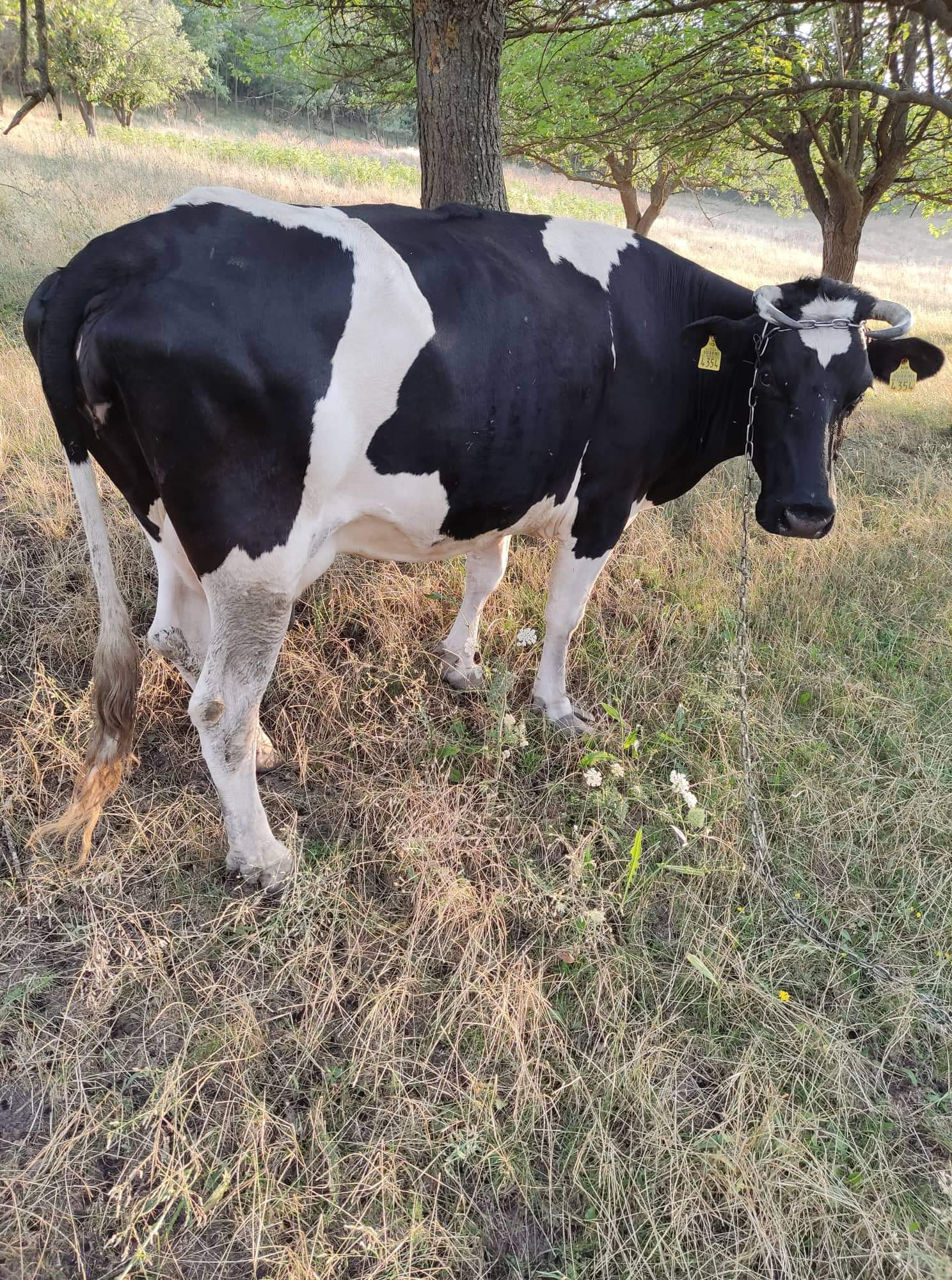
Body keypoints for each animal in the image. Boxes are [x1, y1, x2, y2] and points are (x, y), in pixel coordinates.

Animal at [24, 186, 944, 888]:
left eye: (856, 391)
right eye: (772, 381)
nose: (806, 513)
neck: (665, 329)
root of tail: (113, 254)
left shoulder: (497, 477)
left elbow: (488, 570)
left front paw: (461, 662)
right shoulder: (606, 497)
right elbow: (565, 615)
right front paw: (558, 709)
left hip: (168, 518)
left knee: (176, 638)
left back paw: (267, 747)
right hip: (257, 544)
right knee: (219, 698)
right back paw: (262, 854)